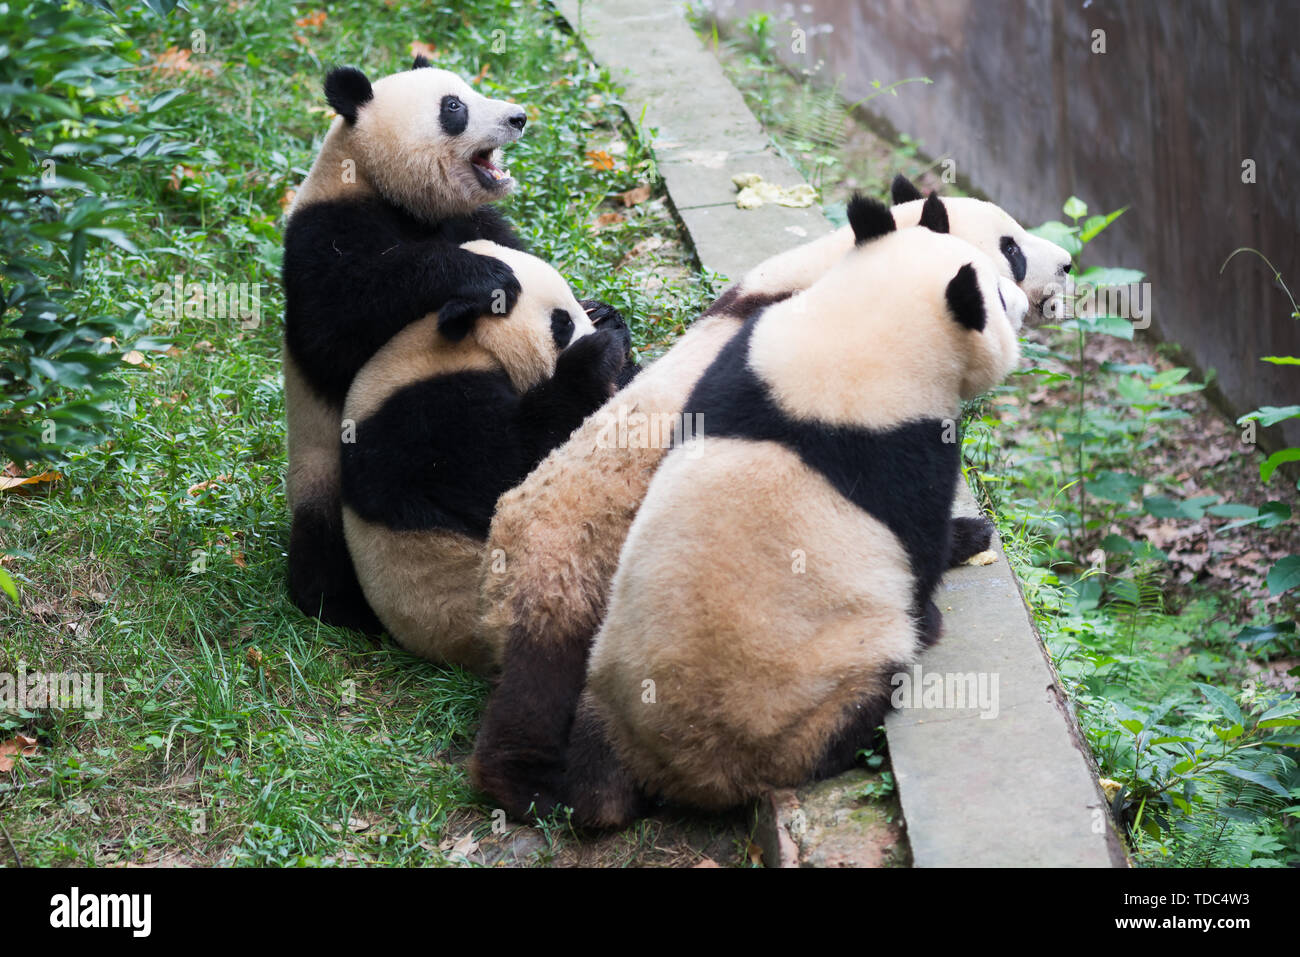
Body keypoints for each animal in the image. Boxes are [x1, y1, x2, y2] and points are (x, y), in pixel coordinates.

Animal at [339, 241, 630, 672]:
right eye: (560, 323)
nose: (593, 332)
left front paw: (609, 319)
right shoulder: (430, 418)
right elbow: (510, 466)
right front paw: (597, 353)